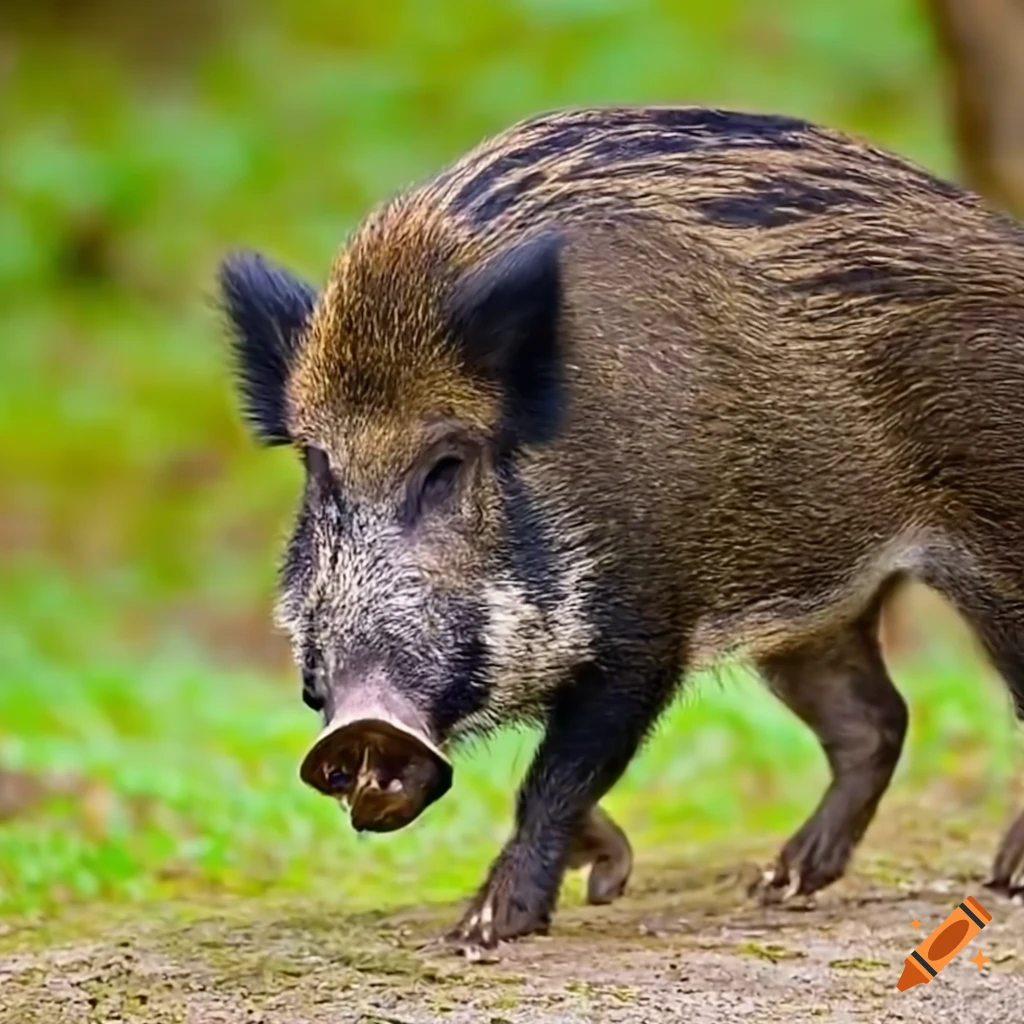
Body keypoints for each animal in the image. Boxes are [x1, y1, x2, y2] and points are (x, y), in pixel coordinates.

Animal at [218, 105, 1024, 953]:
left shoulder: (645, 633)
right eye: (317, 467)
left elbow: (558, 776)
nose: (360, 724)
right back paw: (780, 883)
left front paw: (486, 927)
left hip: (995, 547)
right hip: (816, 609)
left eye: (447, 463)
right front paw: (606, 879)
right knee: (875, 720)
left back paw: (1004, 877)